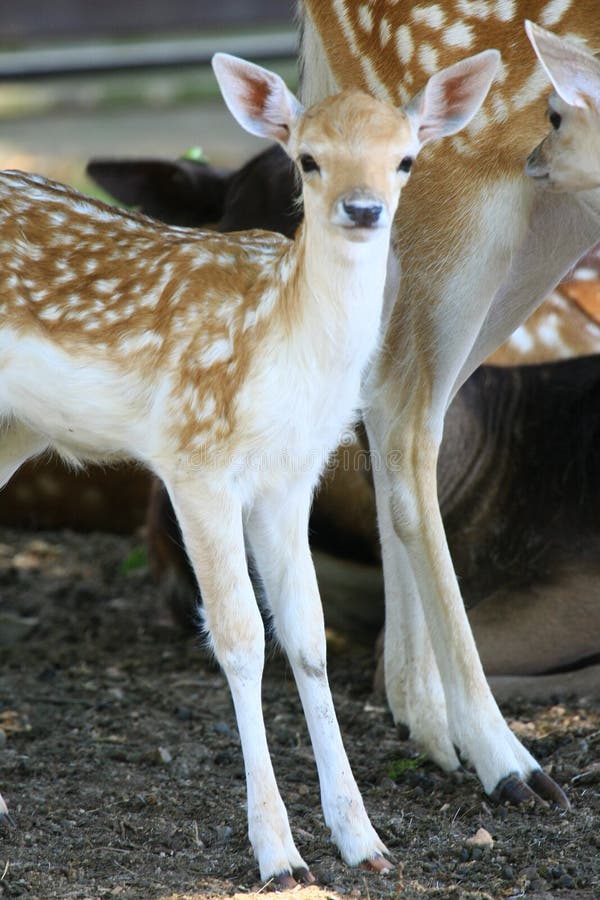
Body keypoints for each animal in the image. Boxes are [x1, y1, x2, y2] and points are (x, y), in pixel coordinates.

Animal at [0, 49, 501, 884]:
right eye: (308, 158)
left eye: (405, 158)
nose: (363, 209)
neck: (279, 344)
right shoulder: (193, 457)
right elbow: (239, 638)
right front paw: (278, 853)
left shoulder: (291, 478)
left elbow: (307, 636)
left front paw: (363, 840)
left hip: (12, 427)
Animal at [295, 0, 600, 811]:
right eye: (554, 113)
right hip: (456, 172)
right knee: (405, 421)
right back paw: (507, 761)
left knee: (386, 392)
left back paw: (428, 723)